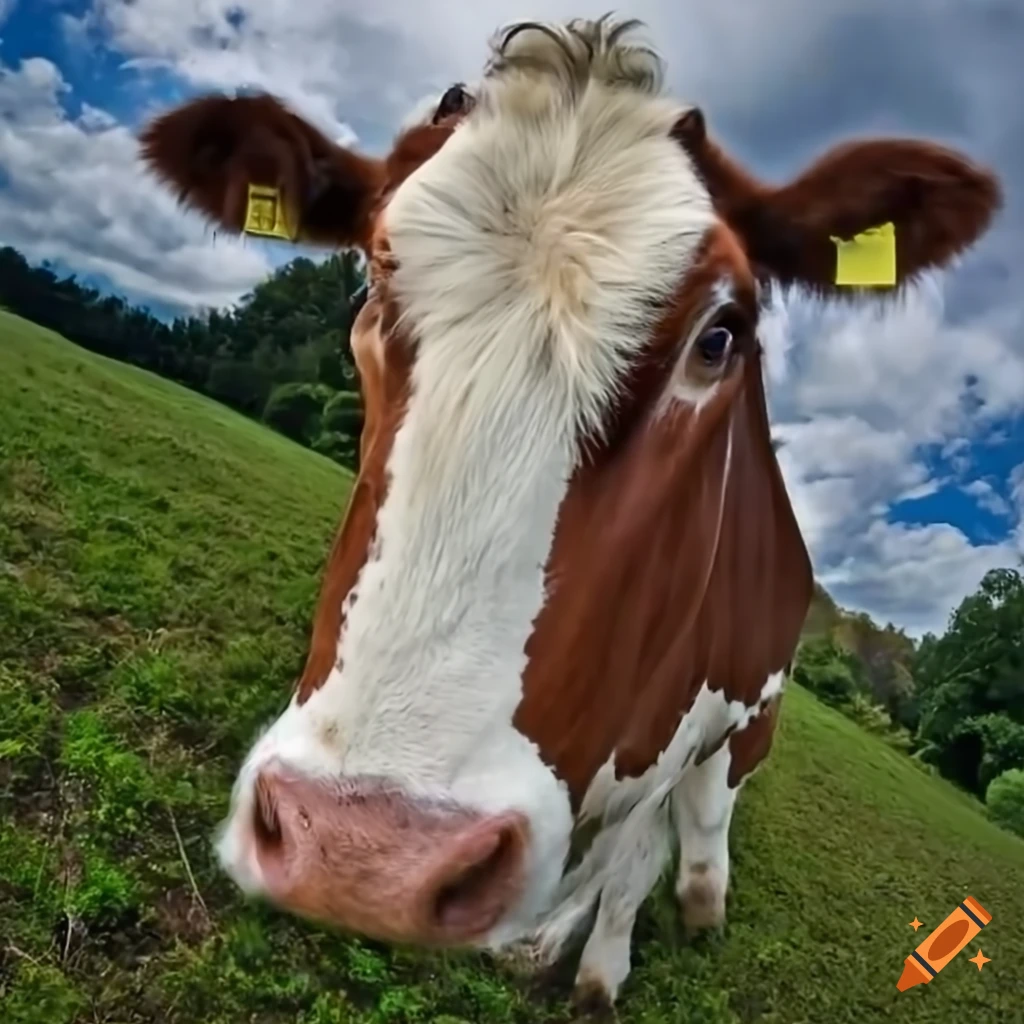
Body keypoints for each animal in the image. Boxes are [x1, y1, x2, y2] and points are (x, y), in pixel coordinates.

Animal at [139, 15, 1001, 1009]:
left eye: (721, 336)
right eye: (371, 282)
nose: (365, 855)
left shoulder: (682, 729)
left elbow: (636, 858)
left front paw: (601, 968)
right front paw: (548, 935)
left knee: (698, 824)